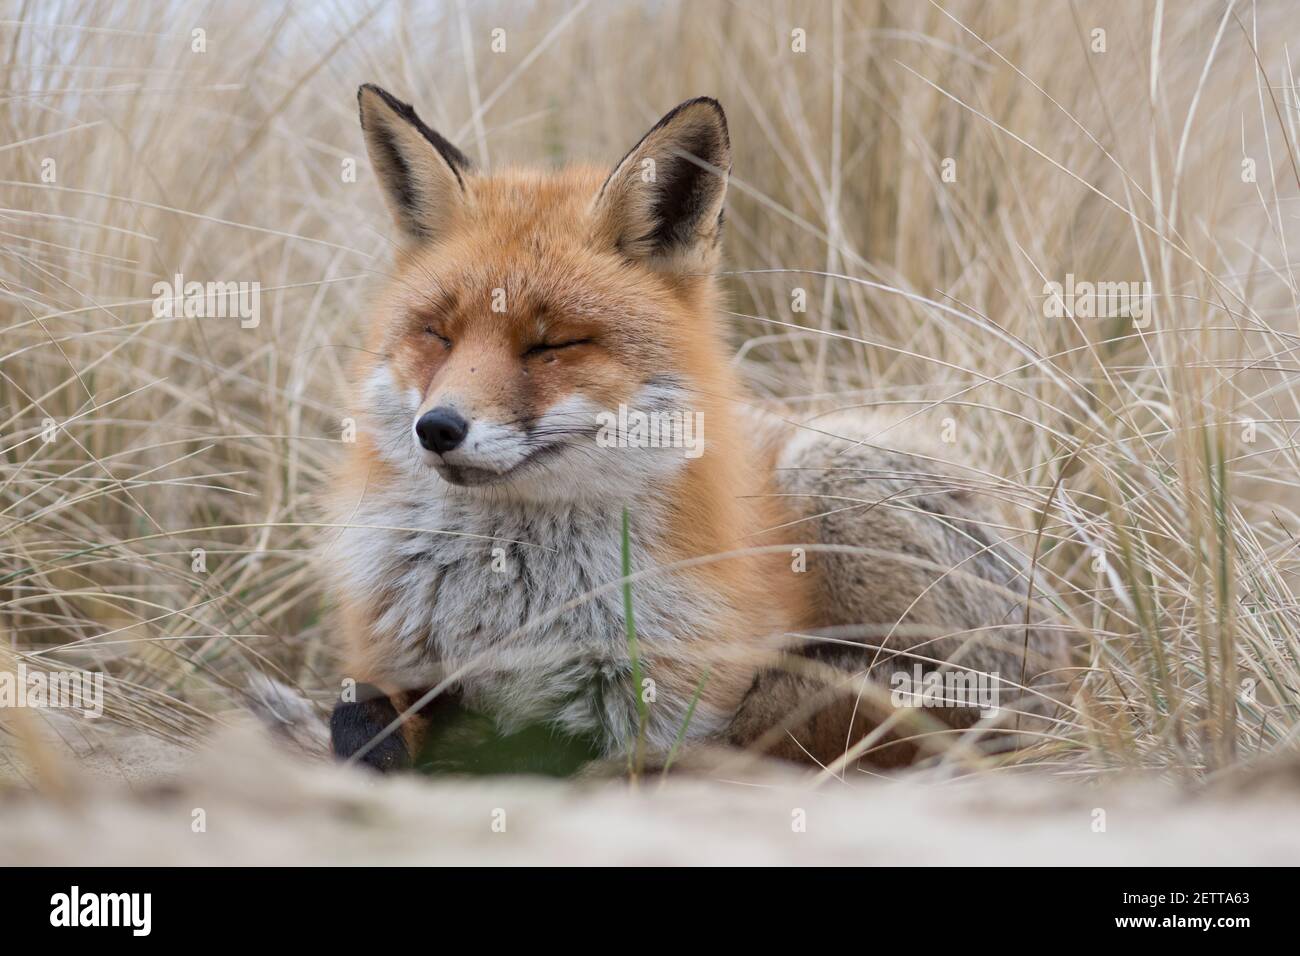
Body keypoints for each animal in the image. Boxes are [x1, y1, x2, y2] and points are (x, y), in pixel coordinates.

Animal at [323, 84, 1069, 775]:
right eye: (437, 334)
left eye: (551, 345)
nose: (437, 427)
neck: (518, 597)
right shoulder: (392, 664)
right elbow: (360, 720)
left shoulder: (664, 709)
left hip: (831, 468)